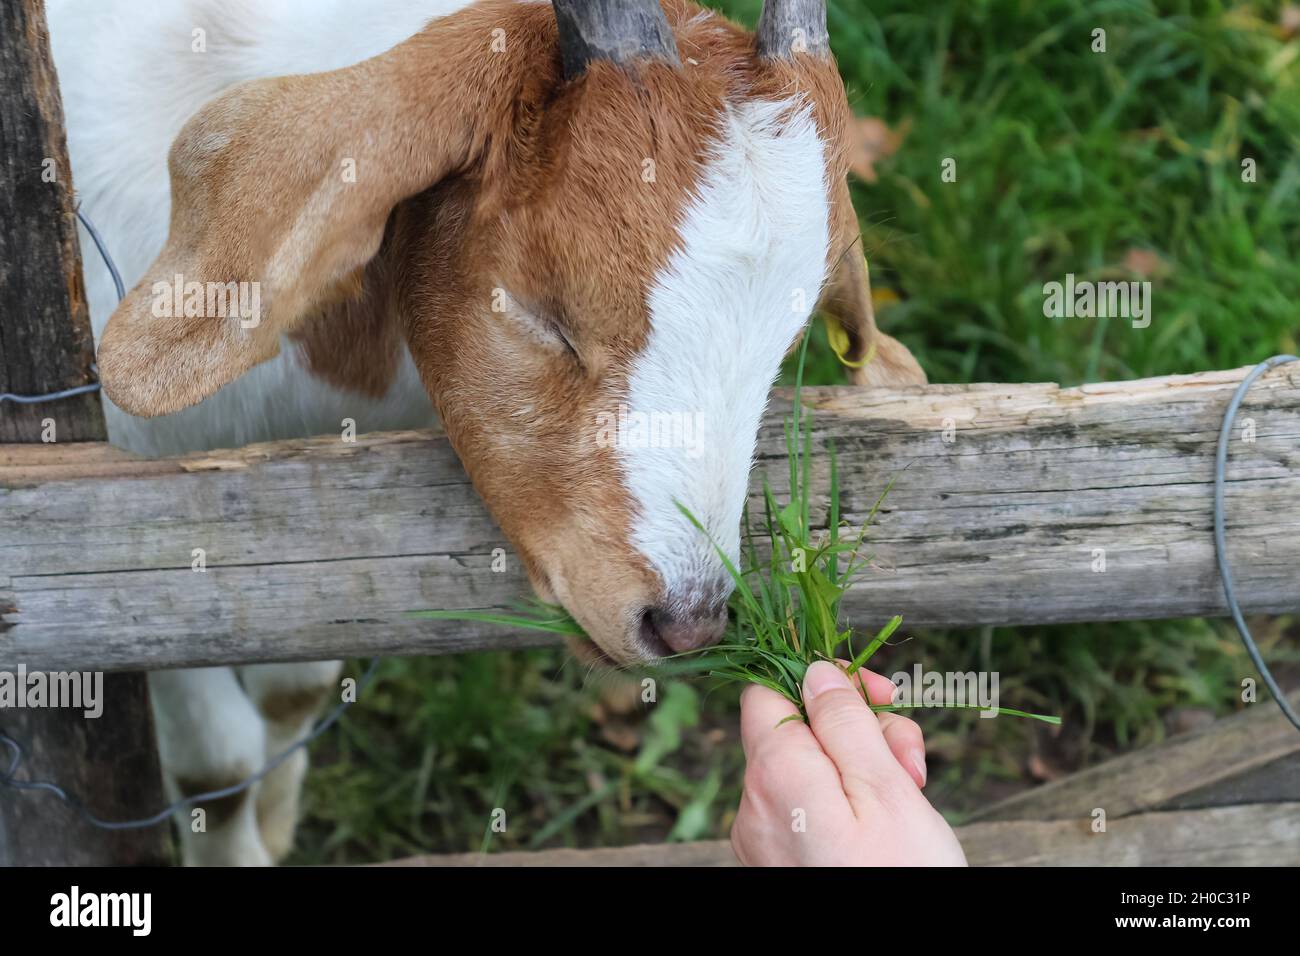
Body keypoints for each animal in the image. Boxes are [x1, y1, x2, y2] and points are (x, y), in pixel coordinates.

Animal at [48, 0, 926, 866]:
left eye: (788, 342)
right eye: (546, 317)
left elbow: (294, 688)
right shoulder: (142, 539)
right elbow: (215, 766)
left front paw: (278, 816)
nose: (684, 624)